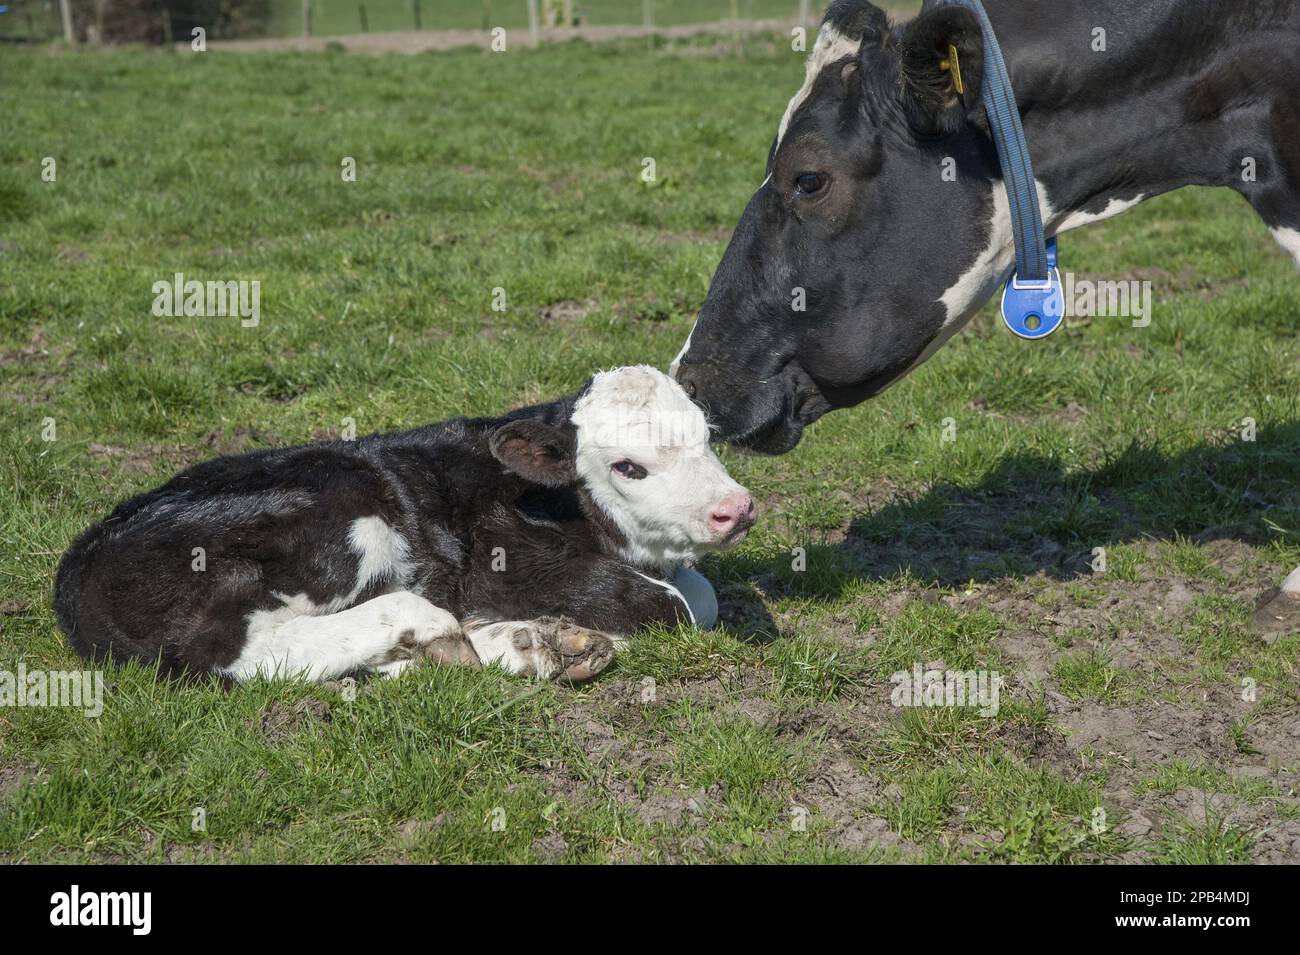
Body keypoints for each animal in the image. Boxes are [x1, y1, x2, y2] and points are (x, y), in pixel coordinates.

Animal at [53, 366, 757, 684]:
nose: (737, 508)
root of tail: (79, 563)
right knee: (233, 651)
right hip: (343, 517)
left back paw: (529, 646)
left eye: (706, 436)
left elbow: (701, 593)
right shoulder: (506, 566)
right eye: (628, 467)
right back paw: (441, 629)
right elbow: (674, 606)